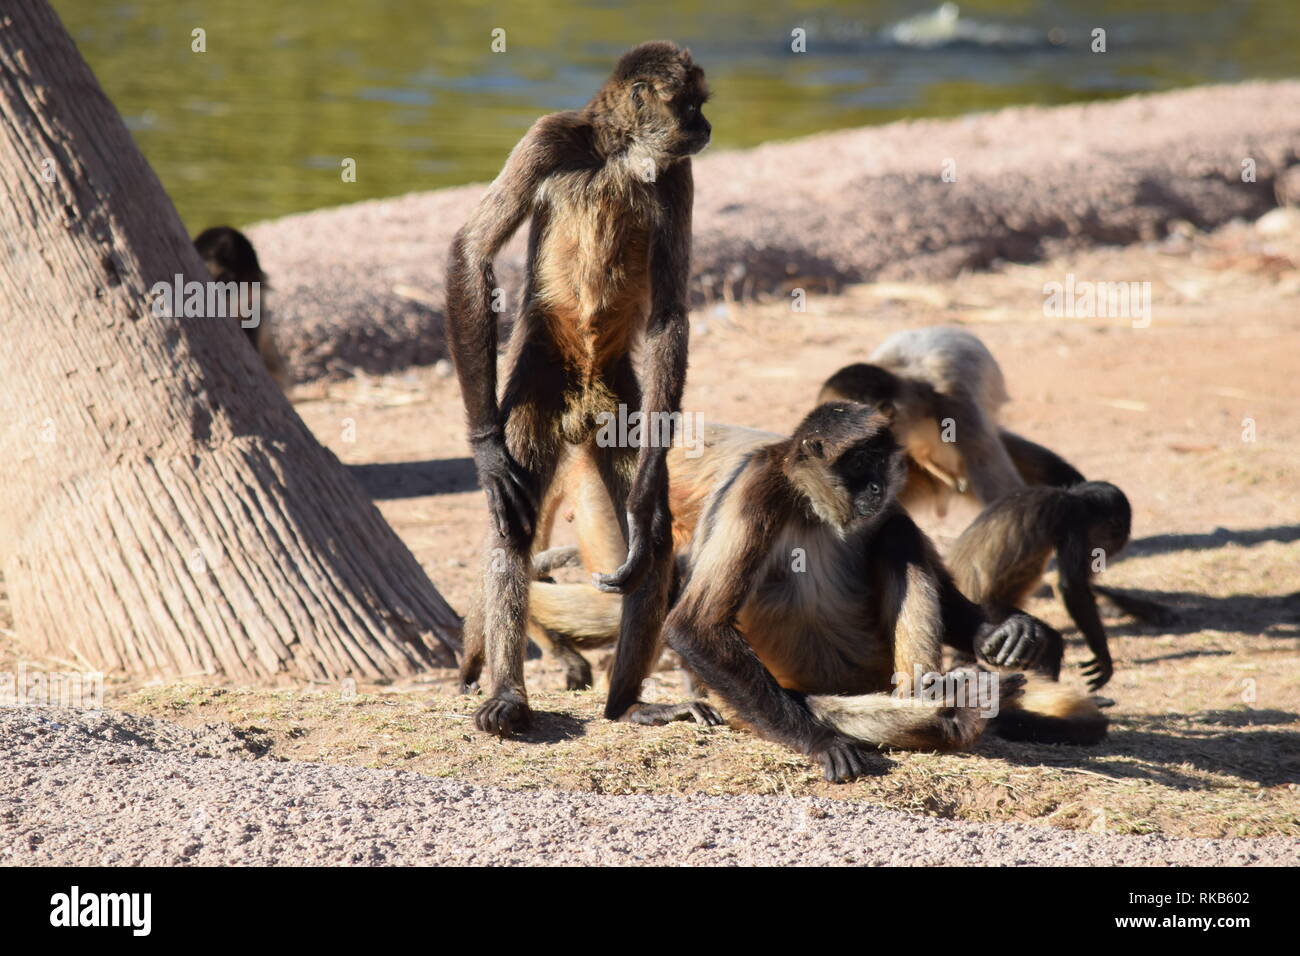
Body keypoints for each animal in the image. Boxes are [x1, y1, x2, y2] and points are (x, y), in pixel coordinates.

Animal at [445, 42, 717, 736]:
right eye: (692, 106)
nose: (706, 127)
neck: (616, 155)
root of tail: (581, 409)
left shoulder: (677, 174)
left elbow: (670, 312)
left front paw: (645, 498)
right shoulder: (551, 138)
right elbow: (471, 251)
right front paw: (485, 451)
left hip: (621, 408)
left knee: (653, 547)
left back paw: (628, 706)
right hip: (535, 387)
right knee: (511, 530)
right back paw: (508, 696)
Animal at [525, 403, 1106, 781]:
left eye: (880, 465)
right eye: (858, 466)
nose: (876, 487)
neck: (812, 507)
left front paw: (1000, 634)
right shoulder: (758, 488)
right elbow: (695, 624)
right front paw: (819, 741)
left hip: (872, 660)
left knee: (896, 538)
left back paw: (937, 692)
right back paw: (952, 712)